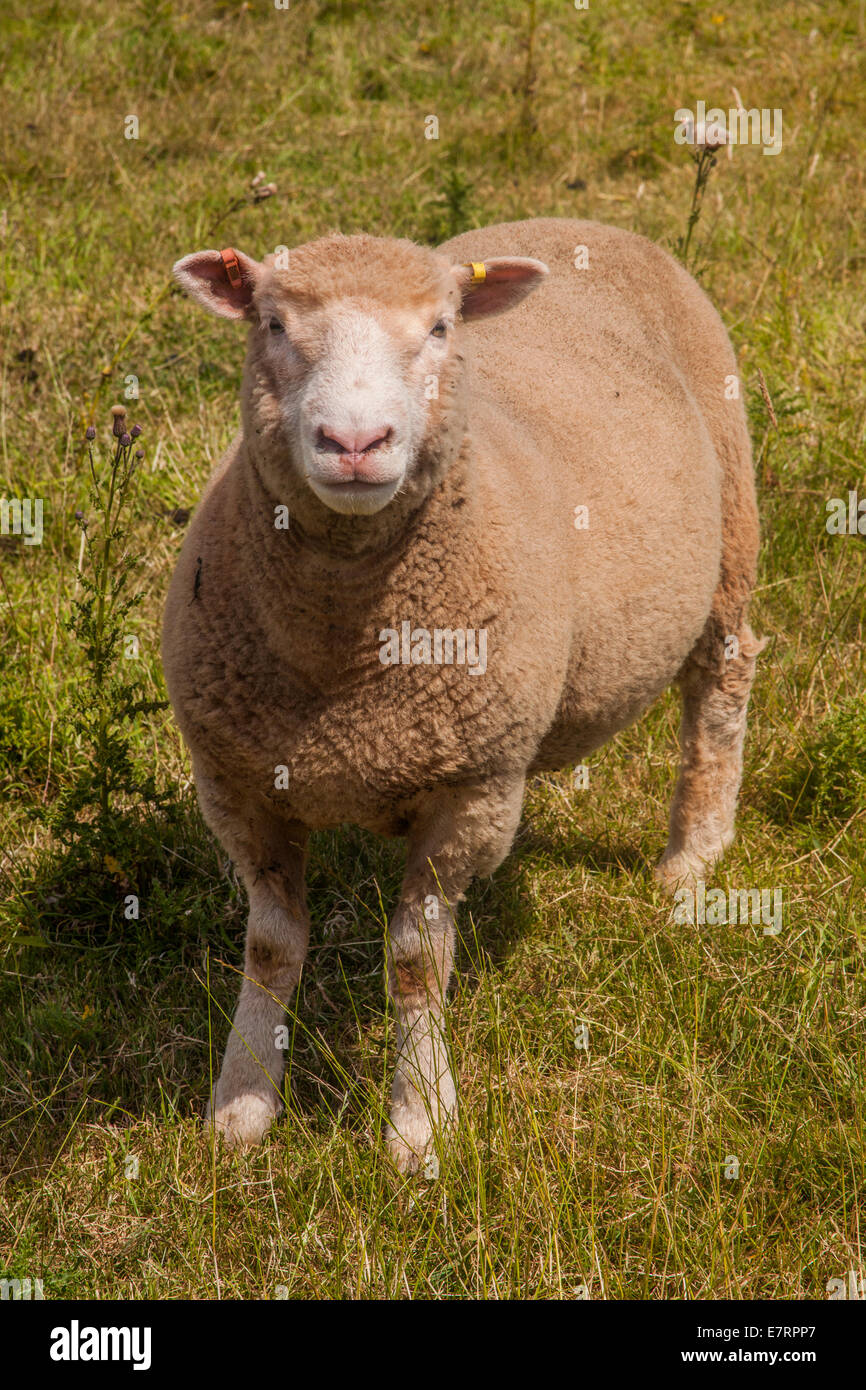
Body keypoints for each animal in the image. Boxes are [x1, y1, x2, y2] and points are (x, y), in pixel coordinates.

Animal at [162, 218, 763, 1171]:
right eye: (273, 325)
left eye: (441, 328)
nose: (355, 441)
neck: (343, 654)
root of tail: (586, 224)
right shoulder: (239, 783)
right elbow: (269, 948)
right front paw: (243, 1106)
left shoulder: (471, 788)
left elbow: (416, 961)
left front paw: (417, 1126)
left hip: (732, 534)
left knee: (722, 681)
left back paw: (693, 857)